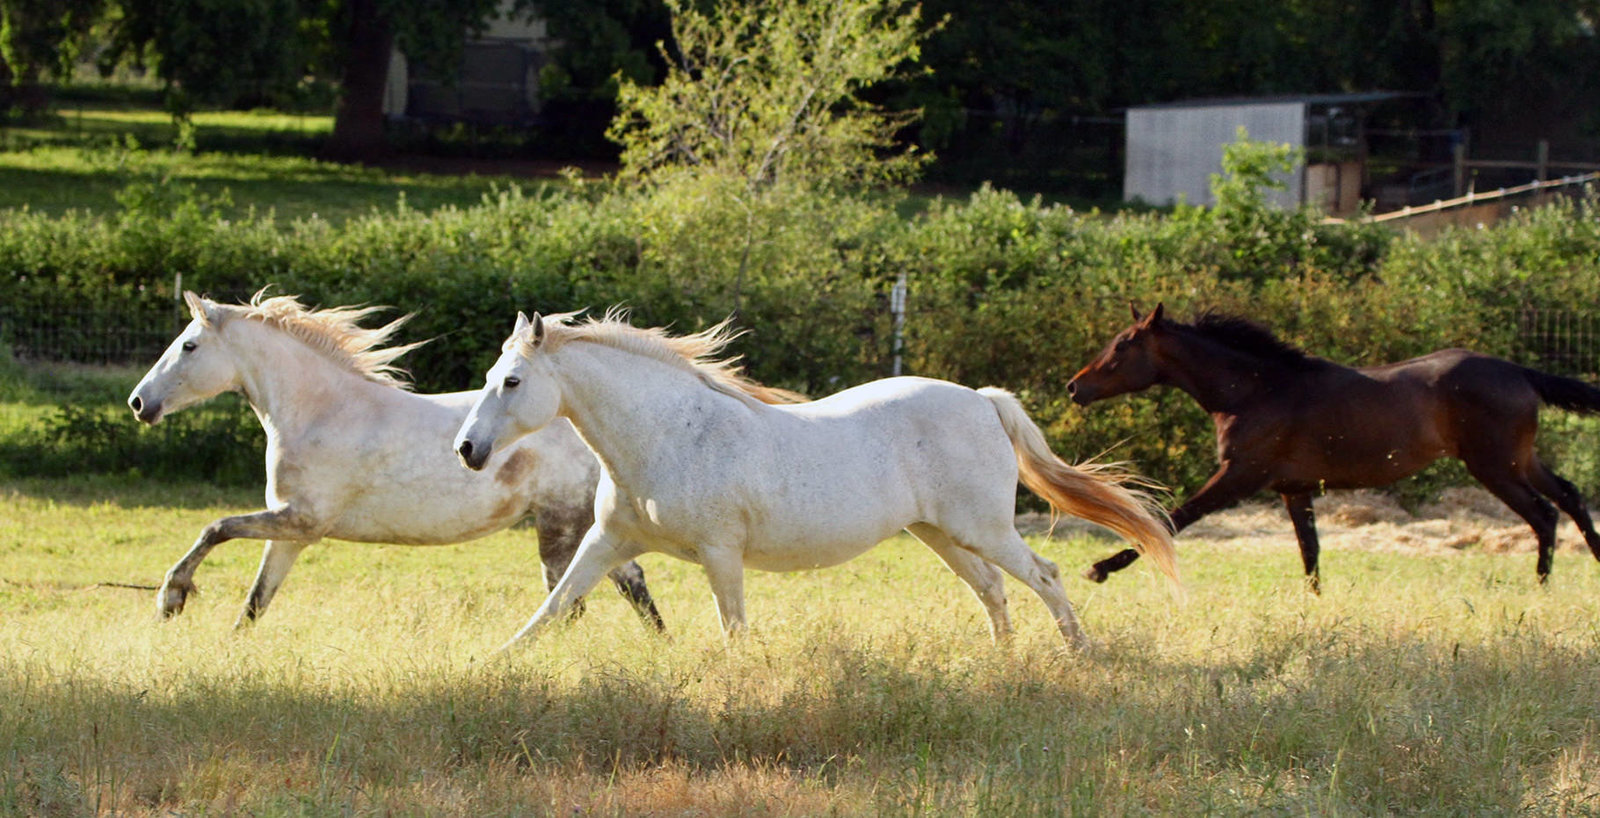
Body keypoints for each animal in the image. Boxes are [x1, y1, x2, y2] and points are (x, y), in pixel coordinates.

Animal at [127, 290, 666, 633]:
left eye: (188, 345)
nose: (138, 403)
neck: (321, 411)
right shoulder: (291, 534)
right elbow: (255, 603)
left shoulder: (301, 520)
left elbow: (215, 529)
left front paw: (170, 600)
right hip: (583, 528)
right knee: (628, 582)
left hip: (558, 526)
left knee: (574, 600)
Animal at [451, 309, 1180, 653]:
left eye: (511, 381)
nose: (467, 449)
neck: (666, 436)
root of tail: (981, 399)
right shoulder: (607, 543)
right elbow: (550, 609)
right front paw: (495, 663)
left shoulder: (720, 553)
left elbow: (734, 630)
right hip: (939, 534)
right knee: (992, 589)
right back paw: (1003, 661)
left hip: (984, 528)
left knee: (1044, 576)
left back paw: (1078, 654)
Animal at [1066, 303, 1600, 591]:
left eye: (1122, 345)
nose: (1075, 387)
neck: (1256, 390)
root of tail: (1520, 372)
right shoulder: (1293, 488)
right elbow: (1311, 553)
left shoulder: (1239, 476)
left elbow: (1172, 519)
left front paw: (1099, 569)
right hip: (1520, 458)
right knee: (1569, 495)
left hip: (1495, 465)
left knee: (1543, 514)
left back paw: (1541, 587)